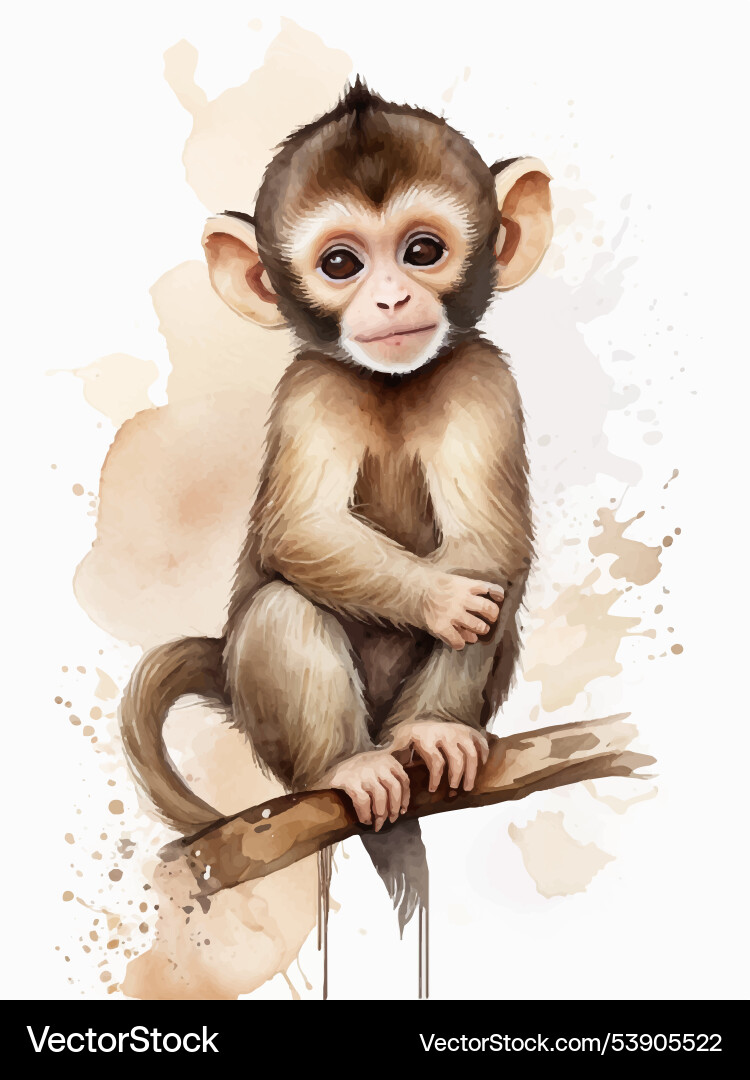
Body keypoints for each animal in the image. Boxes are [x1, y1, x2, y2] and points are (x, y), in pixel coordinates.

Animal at [120, 78, 552, 941]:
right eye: (342, 264)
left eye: (422, 252)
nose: (389, 297)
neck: (392, 384)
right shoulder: (310, 388)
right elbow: (300, 532)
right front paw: (439, 600)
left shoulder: (482, 376)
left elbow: (491, 552)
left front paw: (440, 711)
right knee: (283, 608)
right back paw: (347, 764)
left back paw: (426, 735)